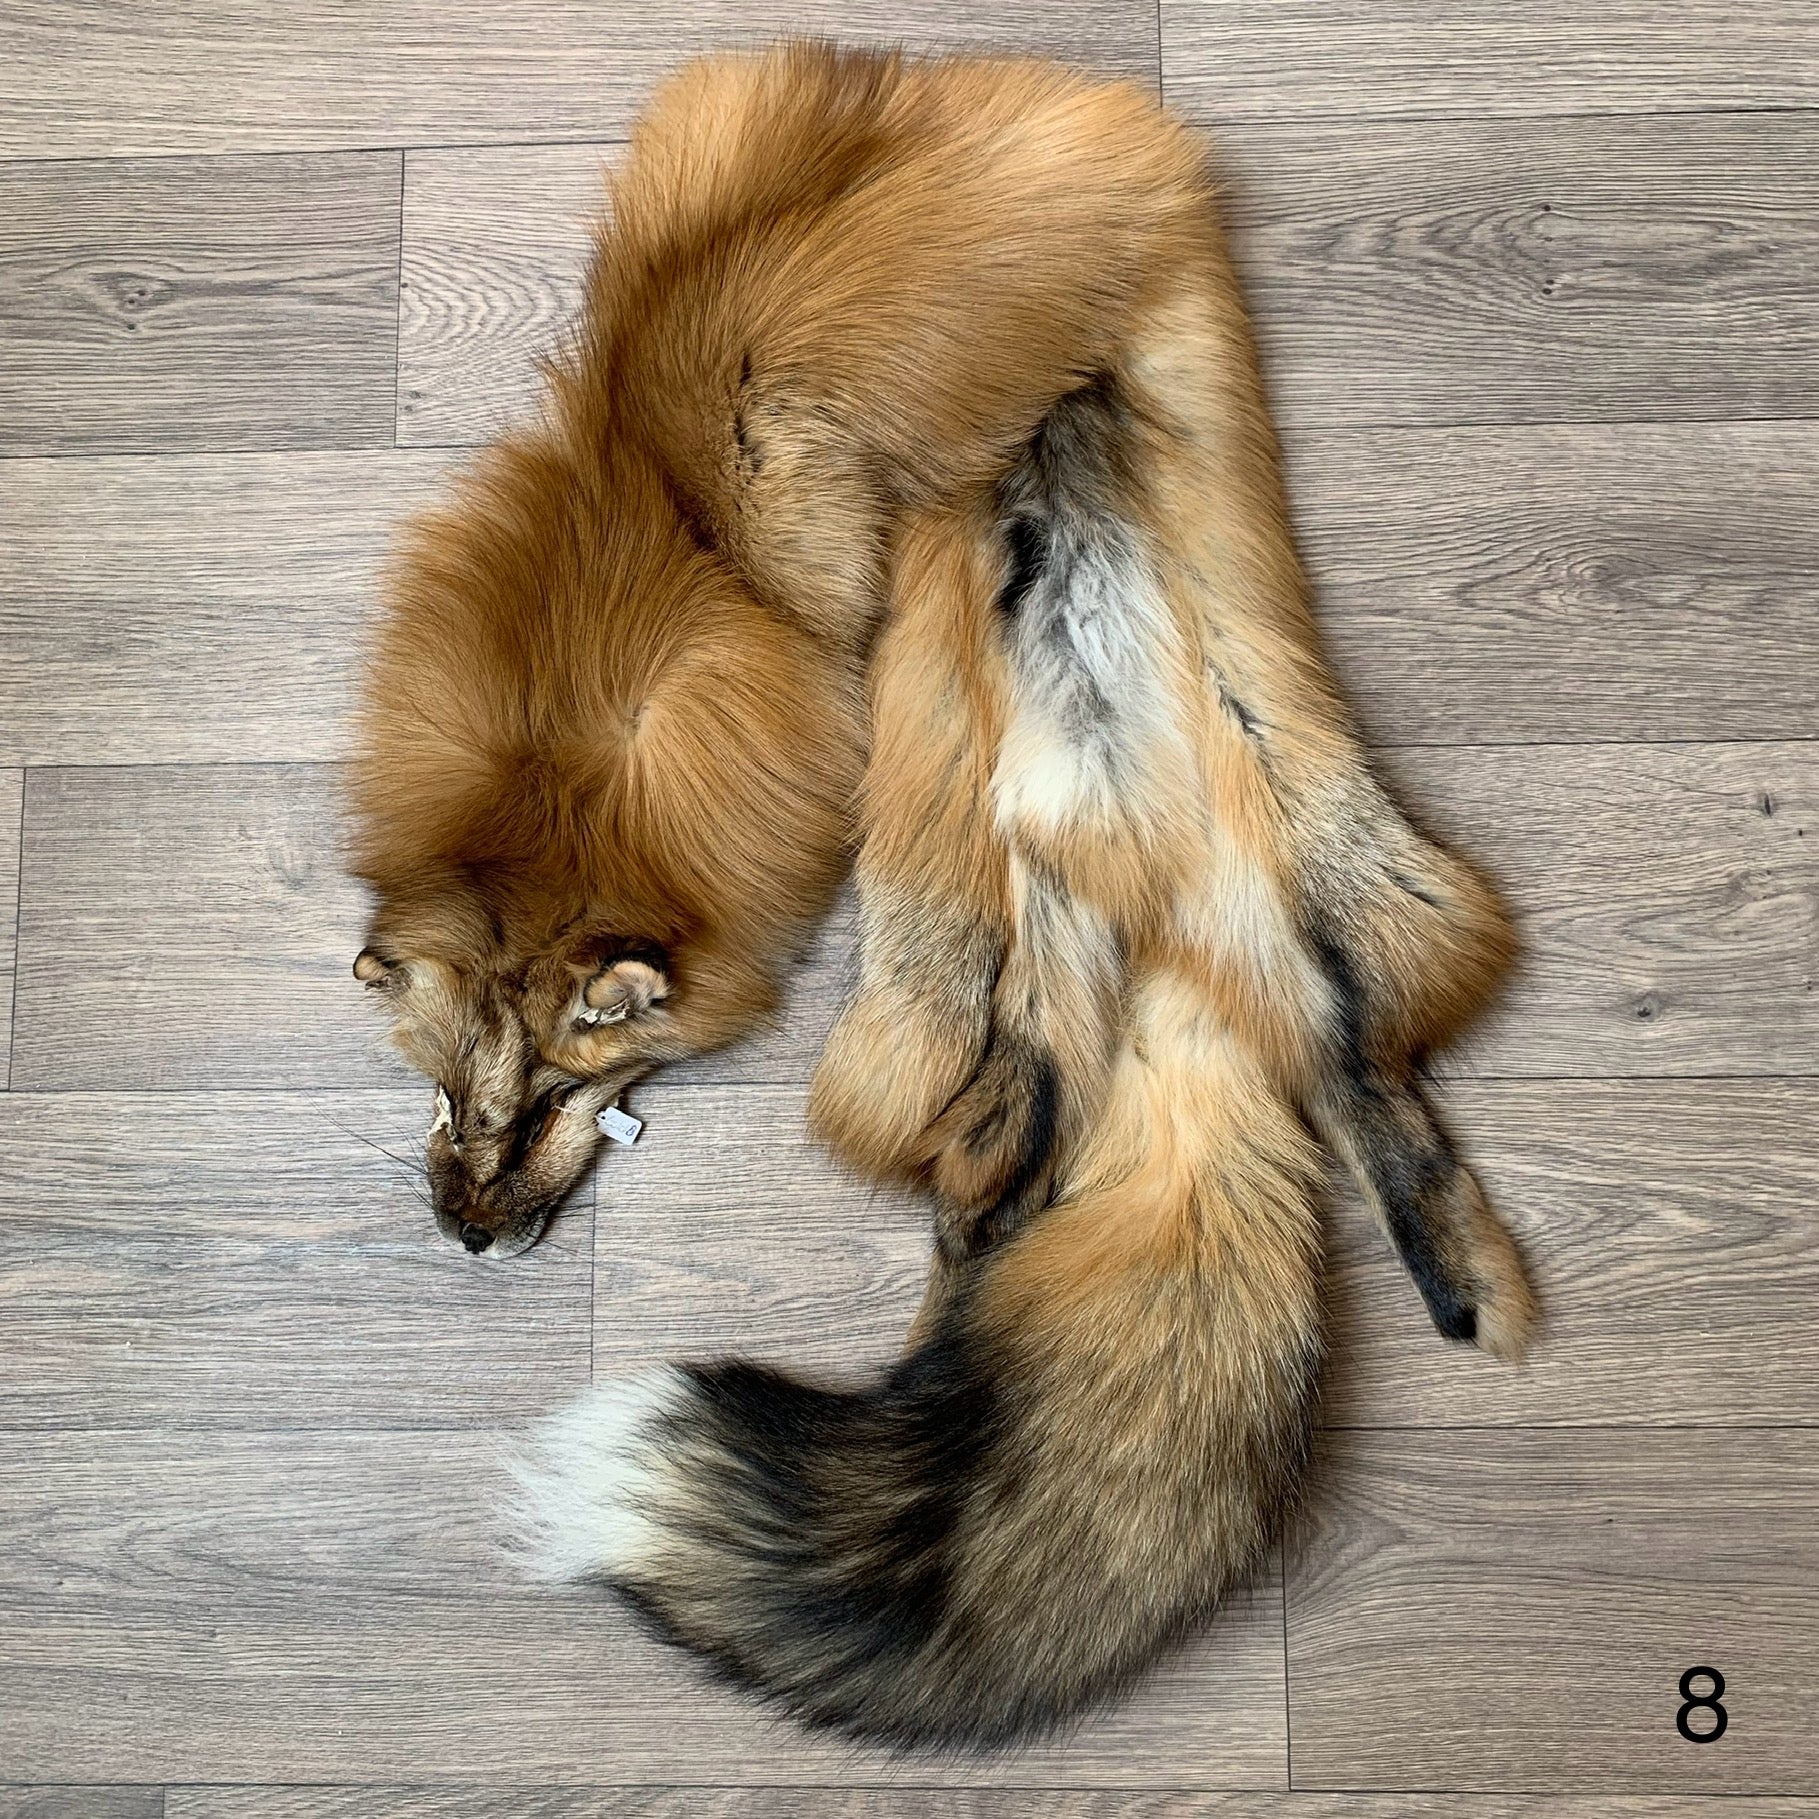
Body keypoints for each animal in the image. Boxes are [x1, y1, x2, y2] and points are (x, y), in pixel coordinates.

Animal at [348, 43, 1535, 1745]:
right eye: (455, 1097)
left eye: (562, 1091)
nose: (467, 1239)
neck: (657, 522)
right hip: (1170, 928)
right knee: (1320, 1073)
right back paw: (1450, 1275)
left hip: (1001, 967)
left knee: (1117, 1147)